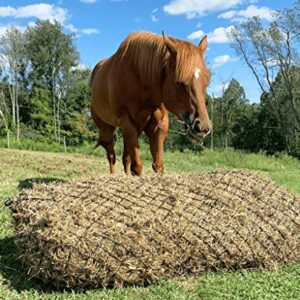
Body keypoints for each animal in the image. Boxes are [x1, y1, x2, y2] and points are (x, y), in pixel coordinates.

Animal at [91, 30, 211, 176]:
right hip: (106, 128)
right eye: (179, 82)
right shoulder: (127, 123)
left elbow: (158, 166)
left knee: (125, 158)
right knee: (111, 155)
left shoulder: (158, 125)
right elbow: (137, 167)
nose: (203, 127)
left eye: (207, 81)